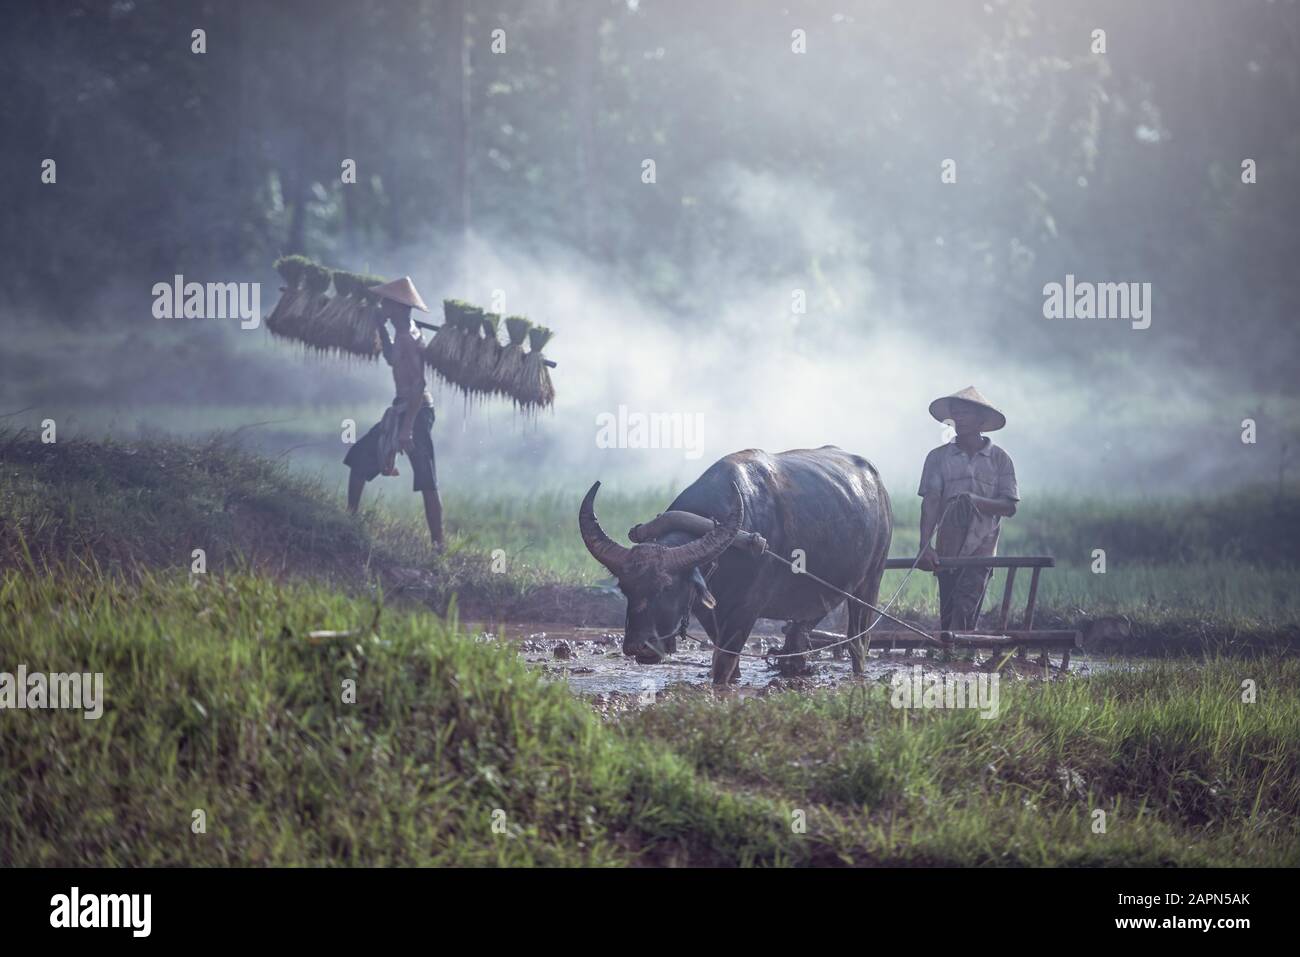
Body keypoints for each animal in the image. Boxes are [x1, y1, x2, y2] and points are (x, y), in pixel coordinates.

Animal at [578, 445, 893, 684]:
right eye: (626, 589)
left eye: (667, 588)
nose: (638, 646)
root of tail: (879, 485)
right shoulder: (708, 613)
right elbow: (729, 662)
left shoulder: (746, 611)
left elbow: (723, 666)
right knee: (801, 630)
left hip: (871, 581)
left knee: (857, 641)